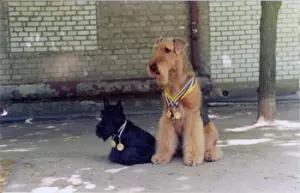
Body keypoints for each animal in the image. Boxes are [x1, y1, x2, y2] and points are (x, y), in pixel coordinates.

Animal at [146, 37, 221, 166]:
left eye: (167, 50)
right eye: (156, 49)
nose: (152, 67)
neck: (174, 80)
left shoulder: (192, 115)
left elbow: (193, 138)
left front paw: (193, 158)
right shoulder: (166, 116)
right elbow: (166, 139)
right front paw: (161, 156)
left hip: (210, 128)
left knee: (212, 146)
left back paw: (211, 155)